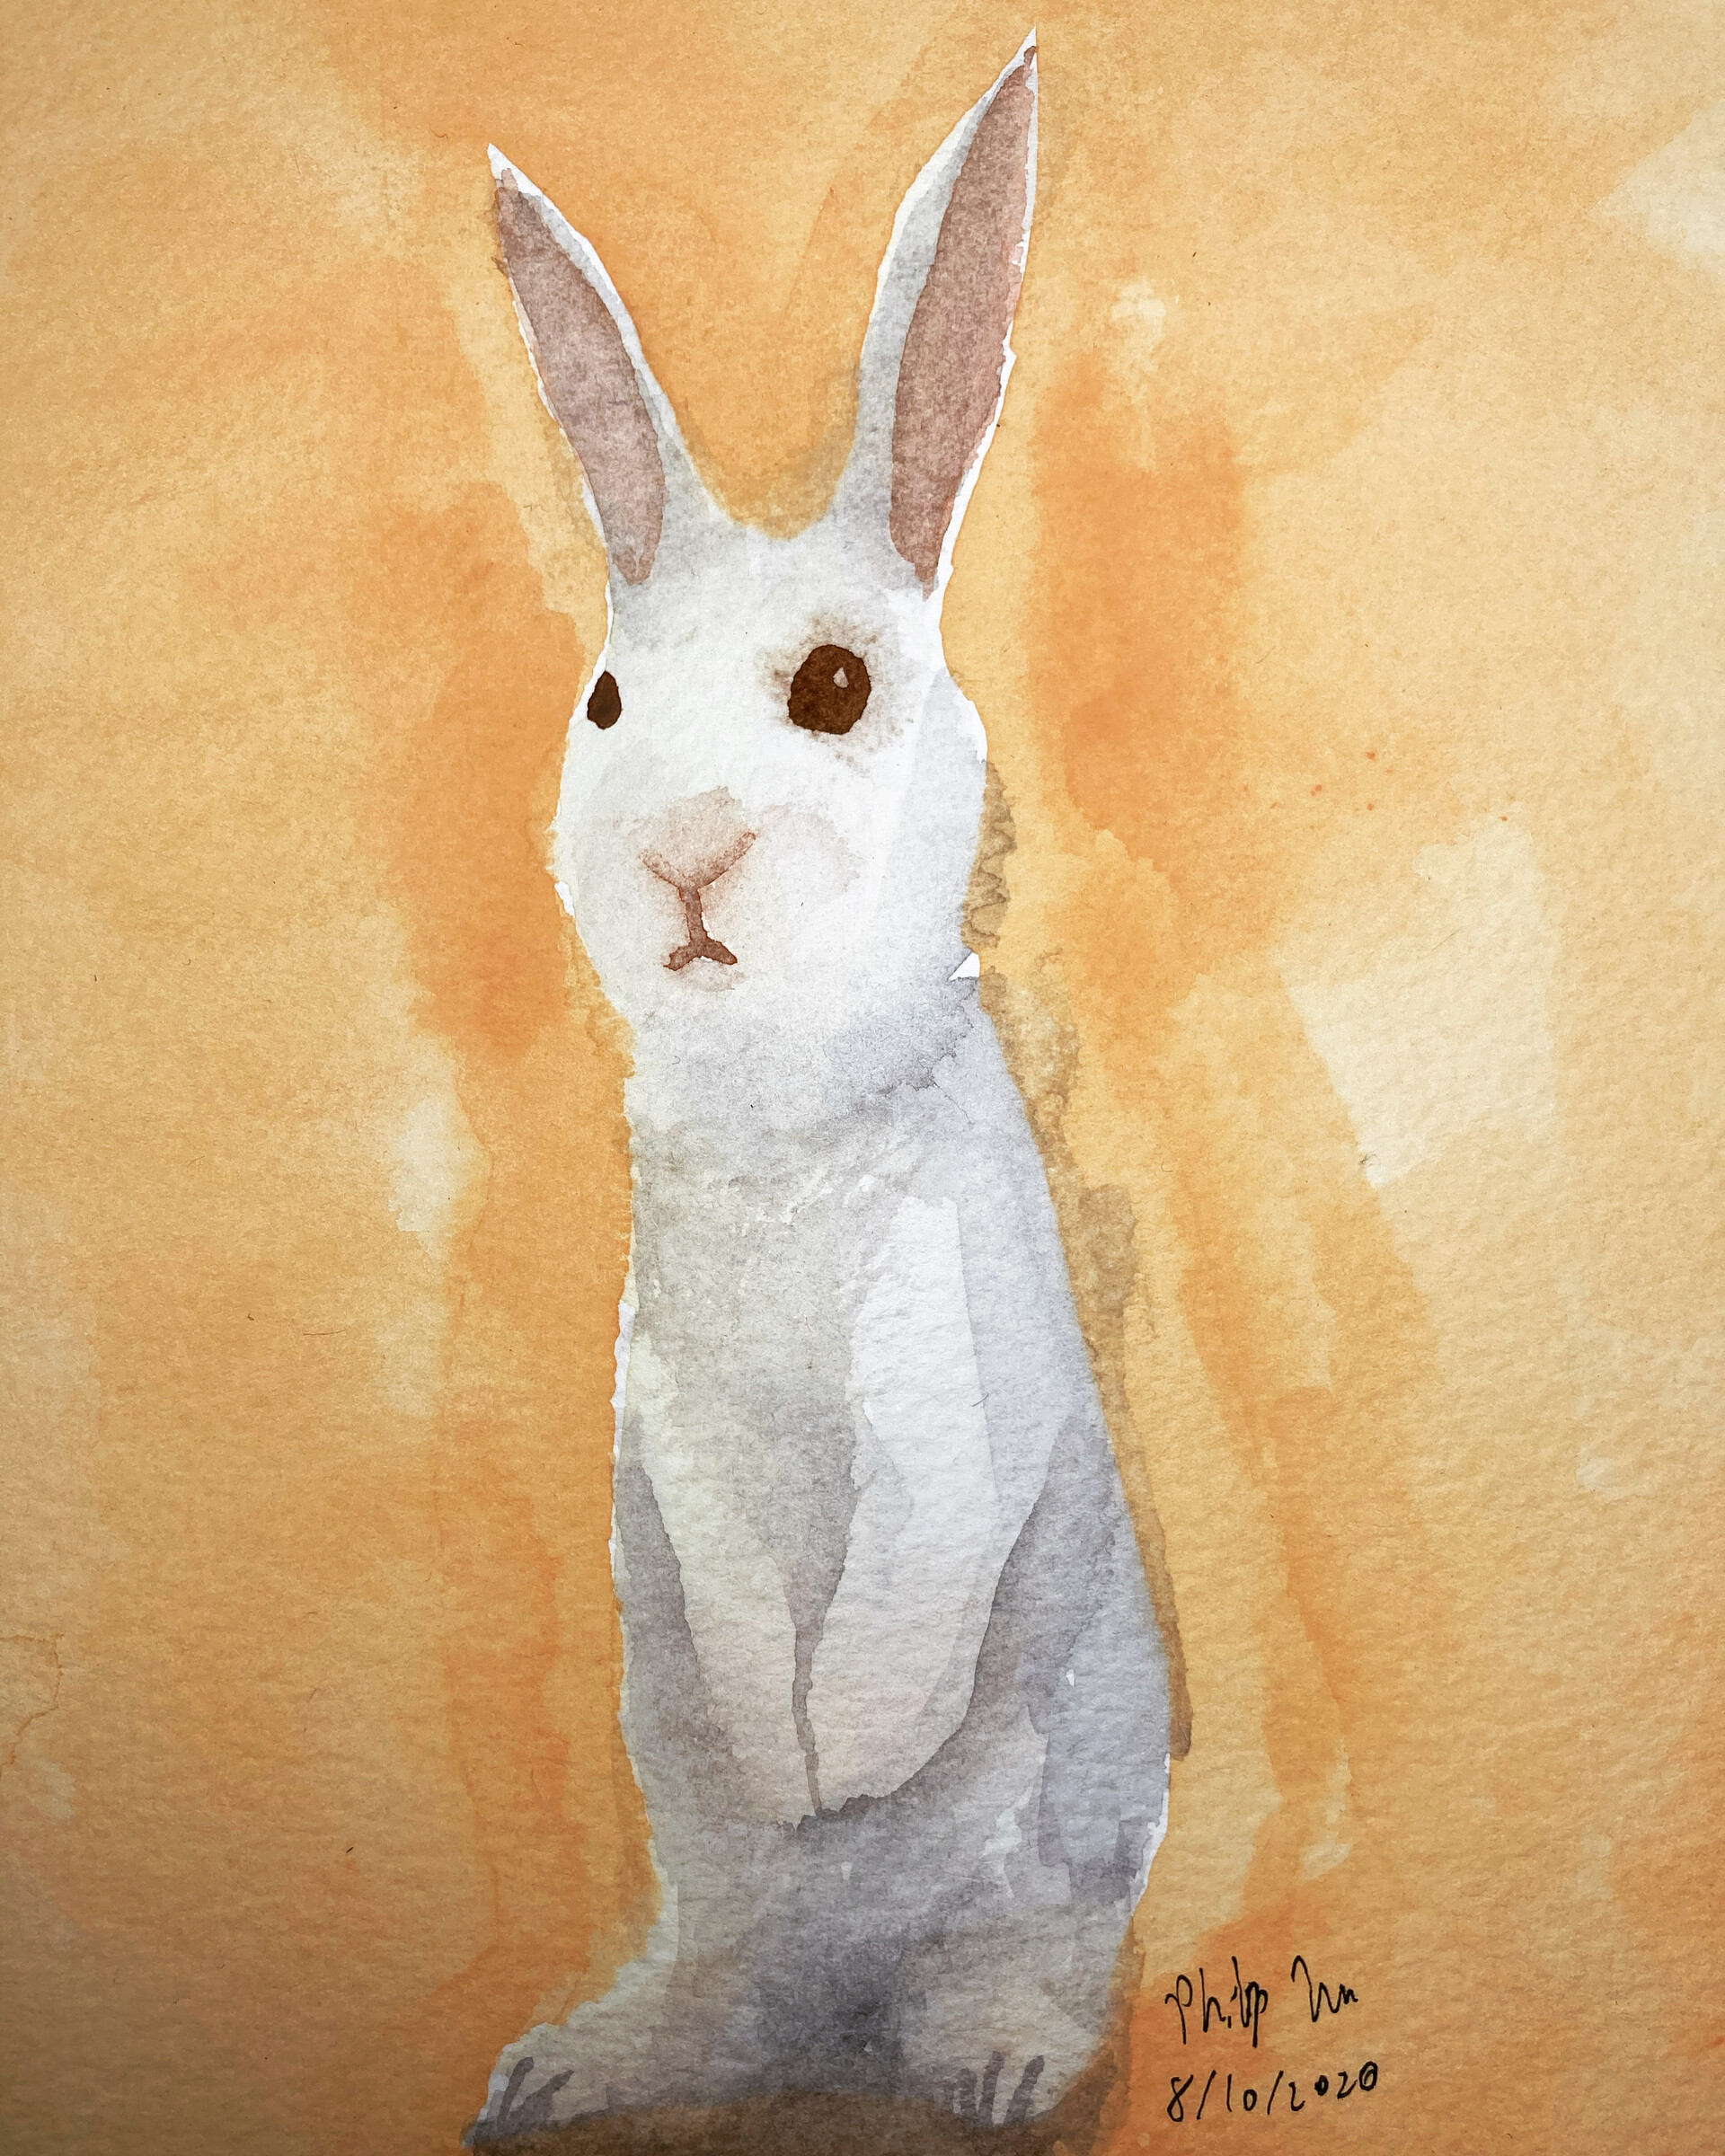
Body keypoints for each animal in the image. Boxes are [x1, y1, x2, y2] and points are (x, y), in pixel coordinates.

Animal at [468, 37, 1172, 2144]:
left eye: (839, 690)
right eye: (608, 703)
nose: (682, 858)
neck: (787, 1120)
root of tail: (848, 1989)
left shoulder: (953, 1354)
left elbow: (912, 1568)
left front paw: (843, 1753)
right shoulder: (669, 1386)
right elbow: (721, 1552)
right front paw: (798, 1763)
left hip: (1070, 1818)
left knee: (1028, 1948)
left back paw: (992, 2053)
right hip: (703, 1866)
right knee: (727, 1978)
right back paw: (579, 2064)